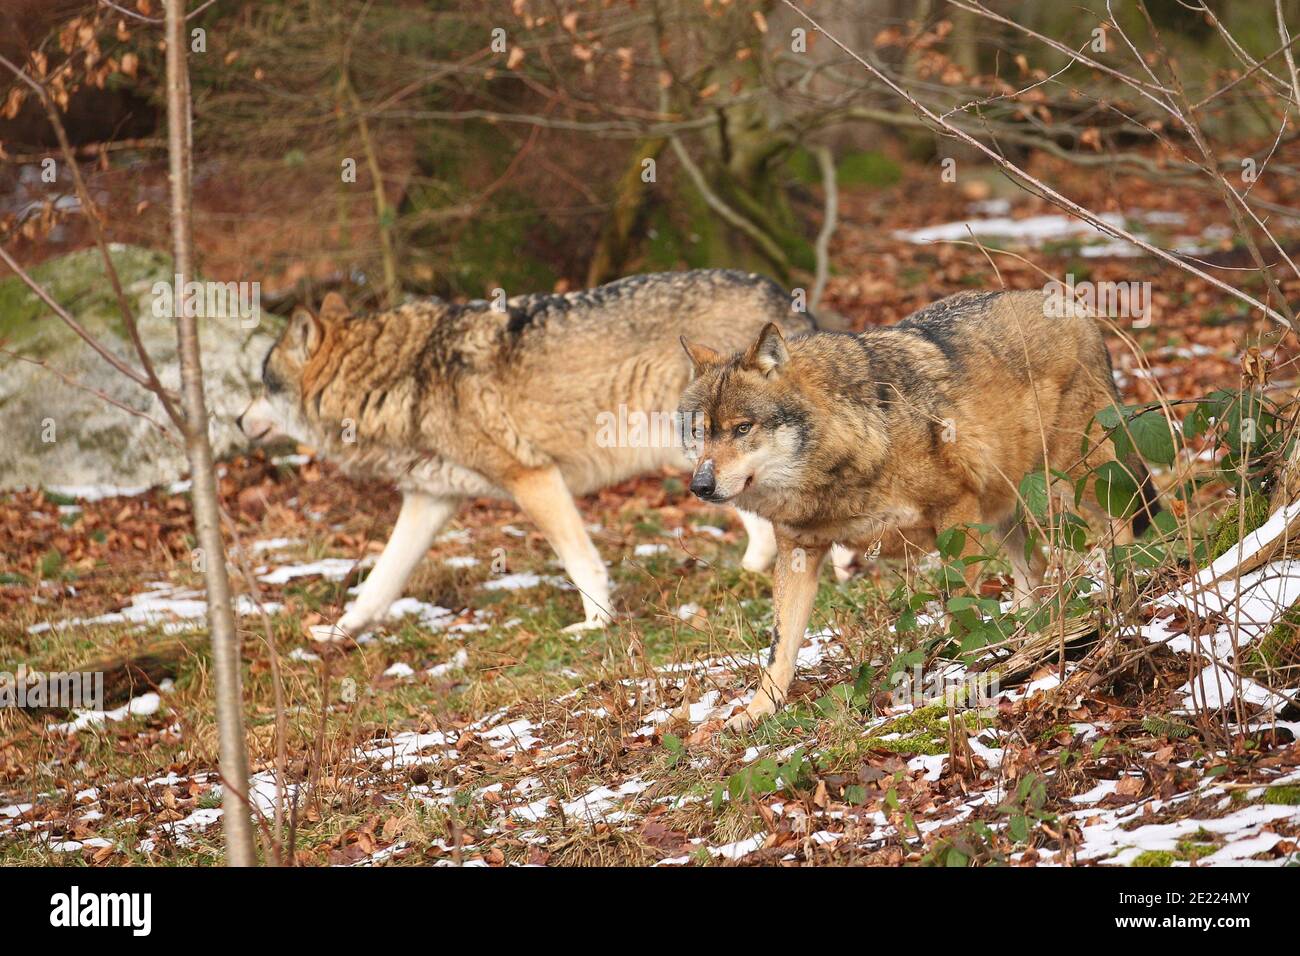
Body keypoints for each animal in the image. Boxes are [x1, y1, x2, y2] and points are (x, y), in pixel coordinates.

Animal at [238, 269, 815, 639]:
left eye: (262, 385)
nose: (239, 421)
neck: (402, 376)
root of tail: (779, 293)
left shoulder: (532, 476)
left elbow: (580, 560)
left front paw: (595, 624)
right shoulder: (429, 500)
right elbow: (380, 582)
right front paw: (337, 633)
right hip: (708, 466)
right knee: (763, 532)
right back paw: (740, 576)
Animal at [678, 289, 1159, 730]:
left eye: (743, 428)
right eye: (702, 432)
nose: (700, 486)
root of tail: (1071, 305)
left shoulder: (955, 513)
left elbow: (959, 610)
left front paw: (964, 672)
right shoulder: (798, 551)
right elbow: (780, 647)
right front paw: (756, 713)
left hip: (1072, 481)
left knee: (1120, 527)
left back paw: (1121, 599)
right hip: (1005, 506)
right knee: (1036, 565)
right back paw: (1025, 632)